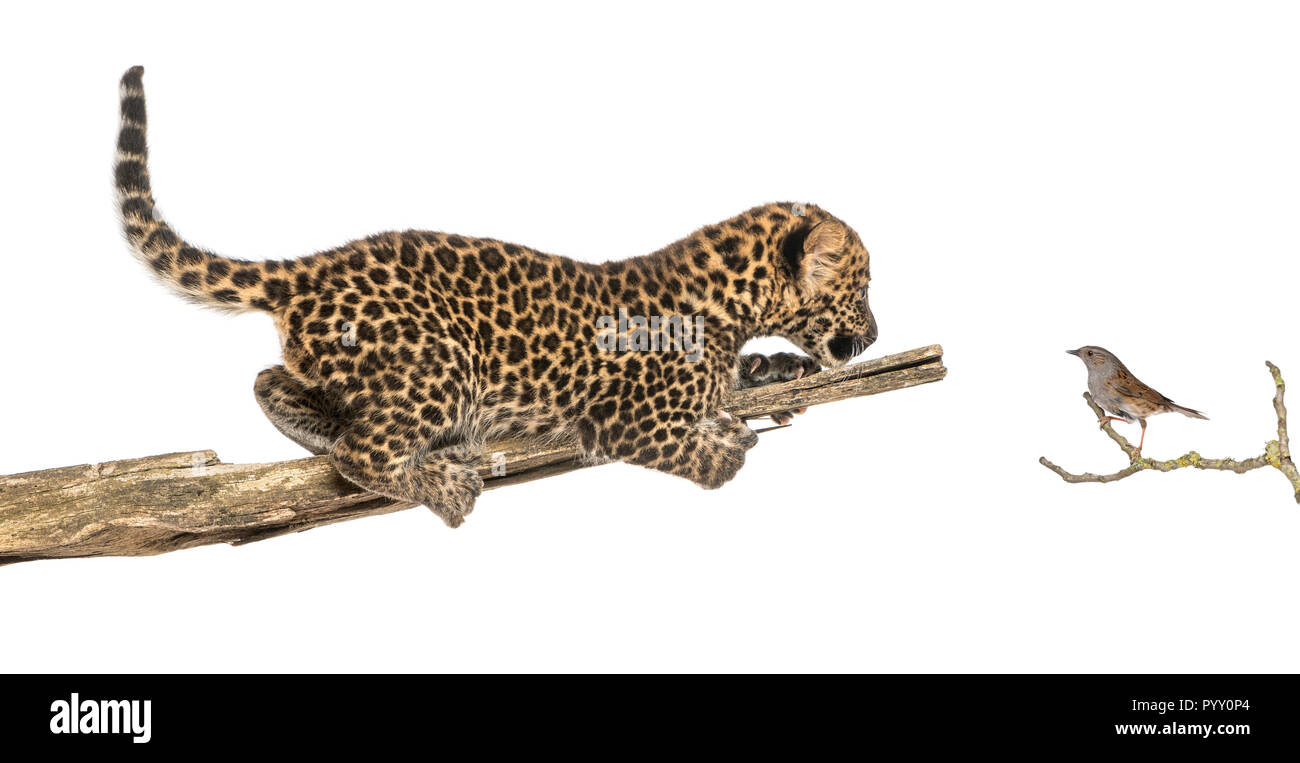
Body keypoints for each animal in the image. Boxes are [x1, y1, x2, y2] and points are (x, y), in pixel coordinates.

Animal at [113, 66, 877, 527]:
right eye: (864, 287)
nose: (873, 334)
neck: (729, 301)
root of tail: (309, 269)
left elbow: (738, 379)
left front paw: (781, 373)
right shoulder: (621, 419)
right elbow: (691, 452)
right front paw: (726, 448)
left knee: (268, 378)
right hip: (440, 363)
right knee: (360, 453)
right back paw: (444, 485)